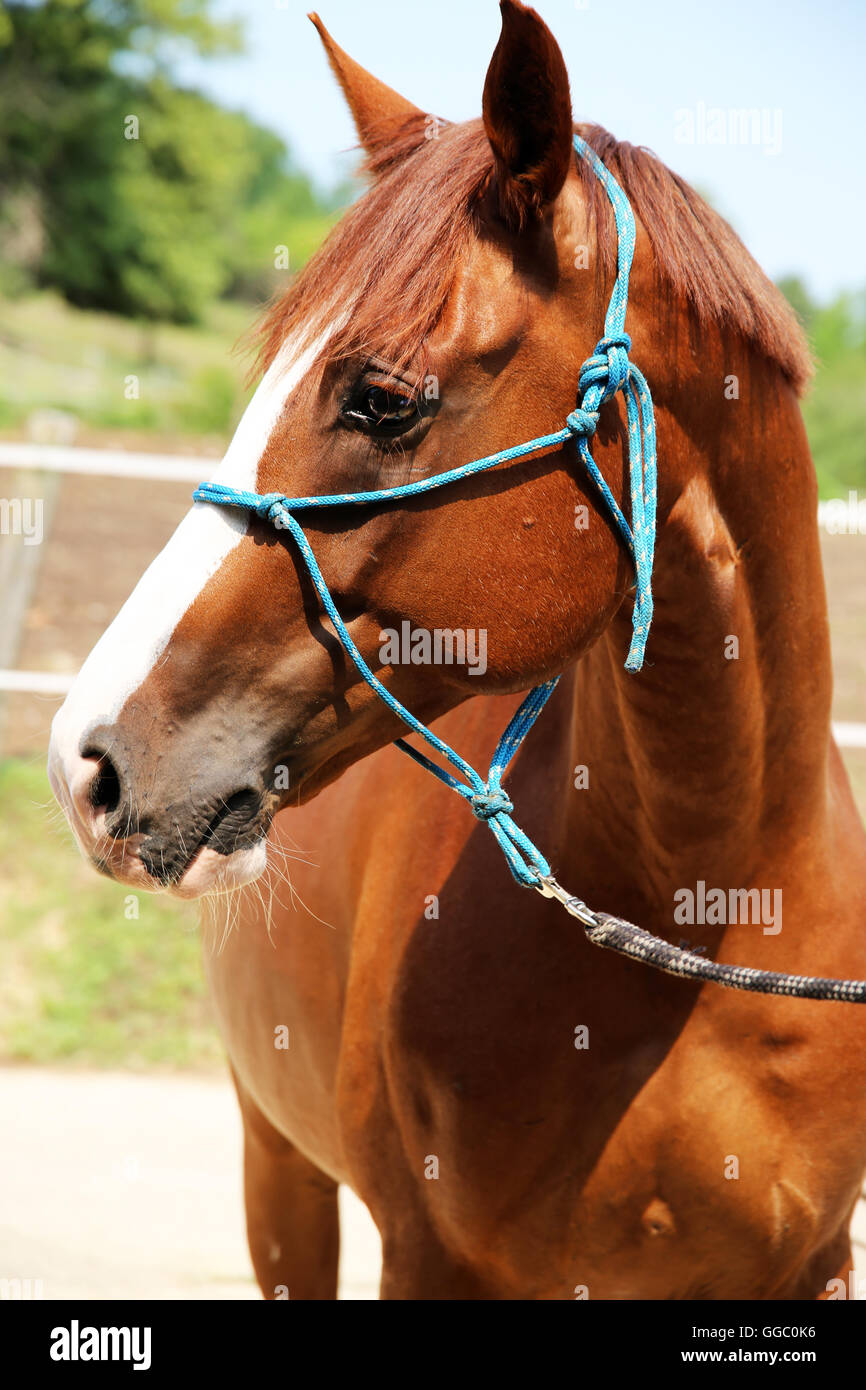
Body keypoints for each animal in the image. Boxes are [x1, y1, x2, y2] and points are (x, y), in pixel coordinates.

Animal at [48, 0, 866, 1299]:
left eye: (380, 400)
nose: (87, 760)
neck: (702, 922)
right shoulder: (426, 1253)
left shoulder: (814, 1262)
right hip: (274, 1161)